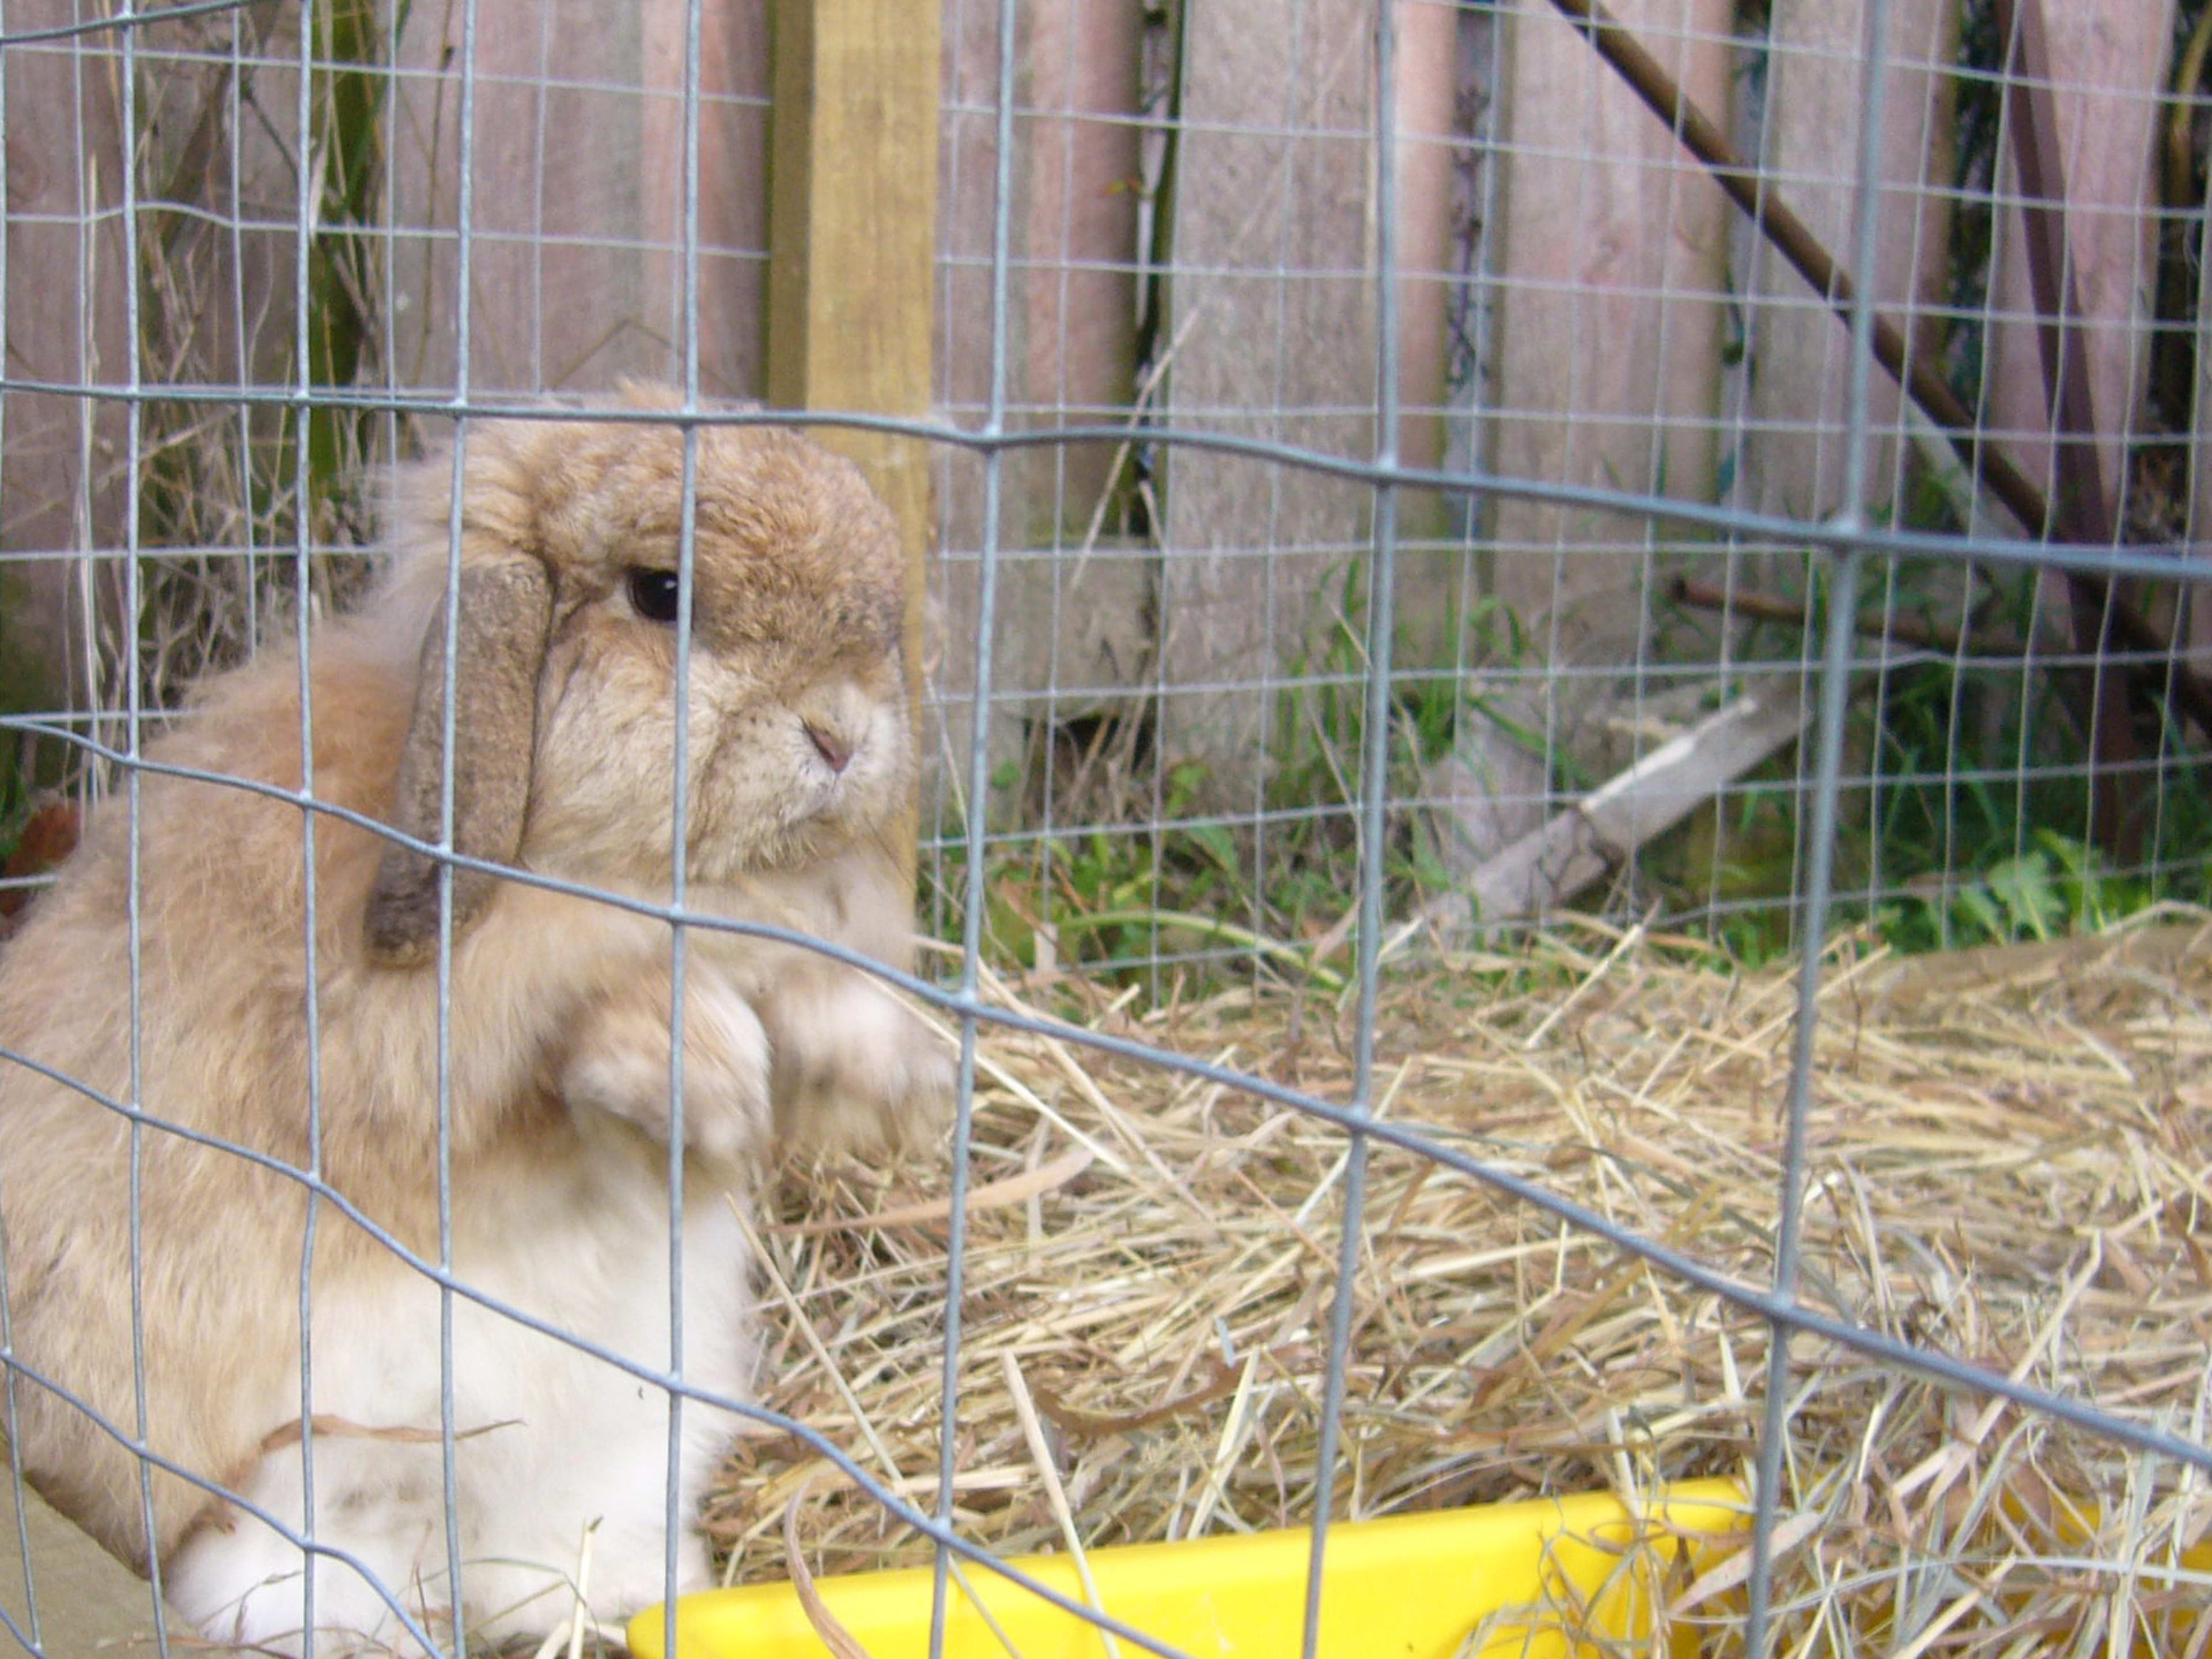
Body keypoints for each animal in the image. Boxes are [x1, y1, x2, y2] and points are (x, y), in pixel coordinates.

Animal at [0, 386, 949, 1652]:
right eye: (662, 591)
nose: (844, 738)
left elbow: (815, 1006)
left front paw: (902, 1082)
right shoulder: (402, 1035)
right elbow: (571, 1022)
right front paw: (701, 1078)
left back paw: (623, 1596)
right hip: (307, 1465)